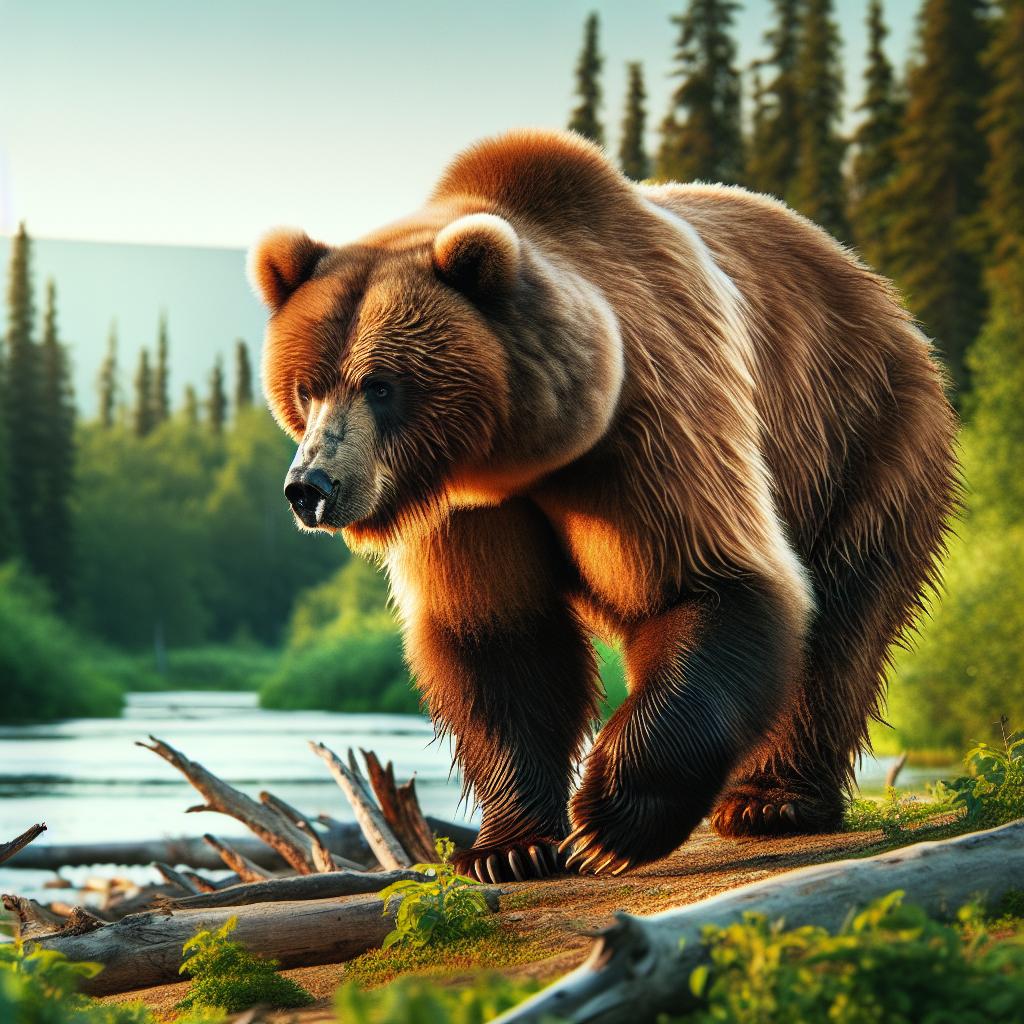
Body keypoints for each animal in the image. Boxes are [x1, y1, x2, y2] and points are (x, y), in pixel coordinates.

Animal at [249, 129, 958, 883]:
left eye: (380, 384)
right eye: (306, 387)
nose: (312, 486)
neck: (525, 450)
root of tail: (869, 282)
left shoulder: (651, 426)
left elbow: (704, 582)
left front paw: (605, 822)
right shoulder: (466, 510)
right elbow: (497, 640)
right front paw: (510, 849)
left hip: (860, 430)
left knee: (843, 614)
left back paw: (771, 802)